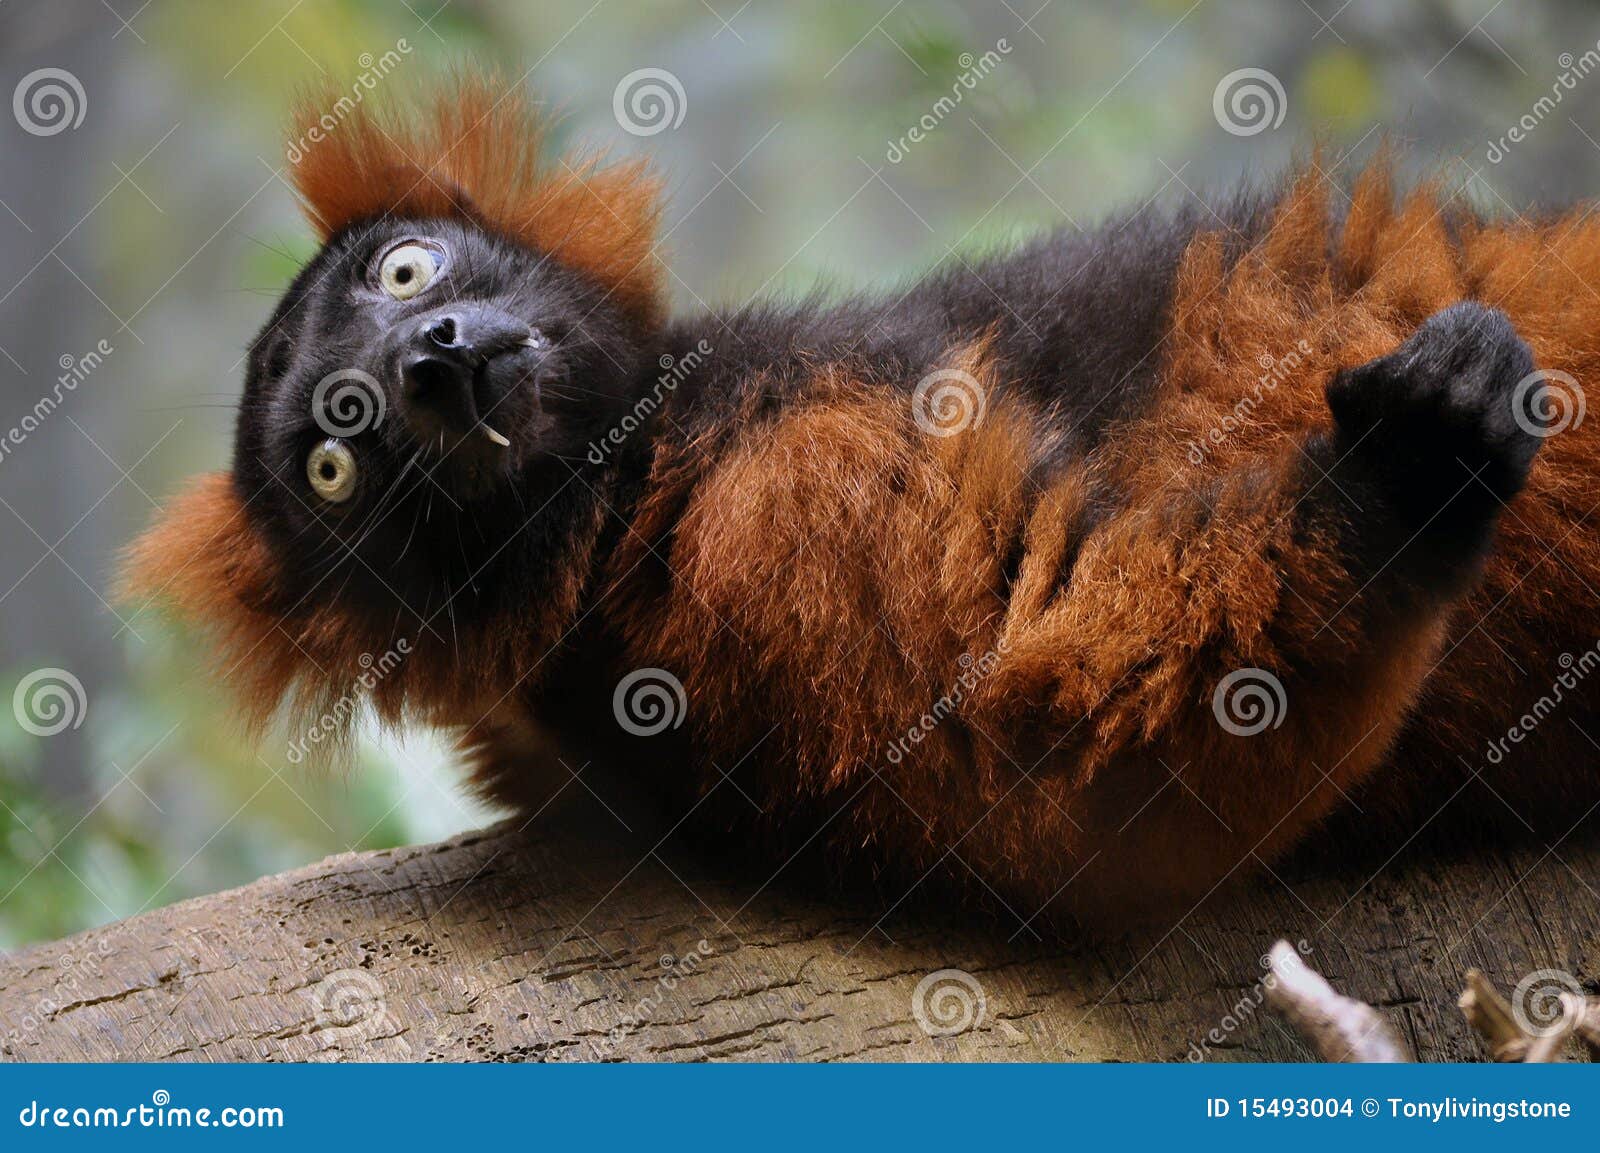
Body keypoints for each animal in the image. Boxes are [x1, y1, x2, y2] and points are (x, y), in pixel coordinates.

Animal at [122, 78, 1600, 927]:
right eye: (335, 464)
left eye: (409, 274)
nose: (427, 365)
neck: (623, 486)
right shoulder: (774, 512)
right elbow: (1053, 762)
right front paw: (1412, 466)